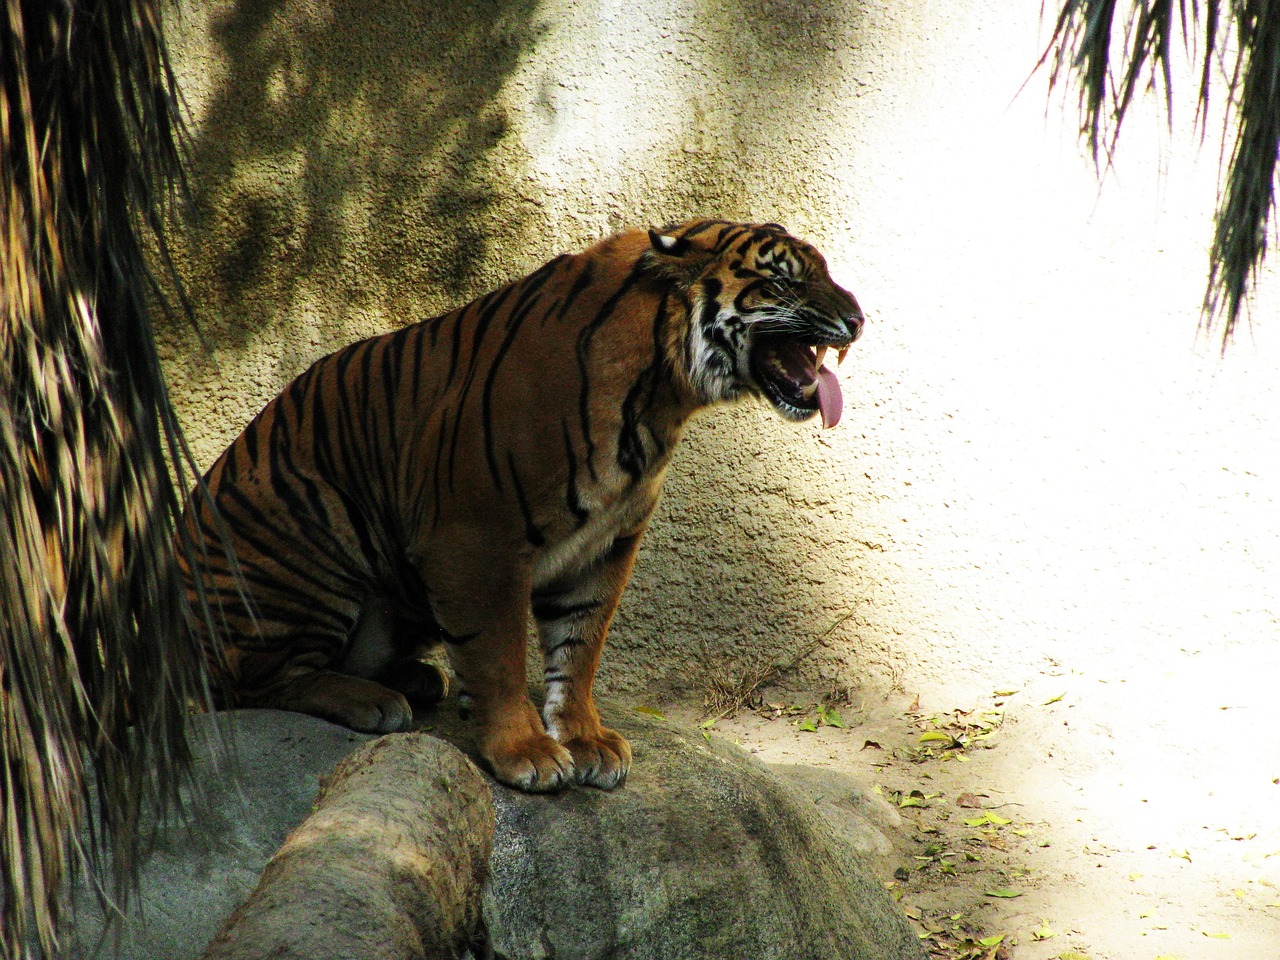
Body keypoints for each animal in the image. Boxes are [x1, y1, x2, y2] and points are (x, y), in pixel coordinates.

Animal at [180, 219, 864, 793]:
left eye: (824, 271)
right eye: (782, 280)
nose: (859, 319)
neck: (662, 395)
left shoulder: (607, 542)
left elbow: (580, 644)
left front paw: (585, 739)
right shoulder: (475, 539)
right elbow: (499, 653)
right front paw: (525, 752)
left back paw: (416, 680)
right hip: (305, 542)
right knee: (244, 683)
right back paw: (371, 701)